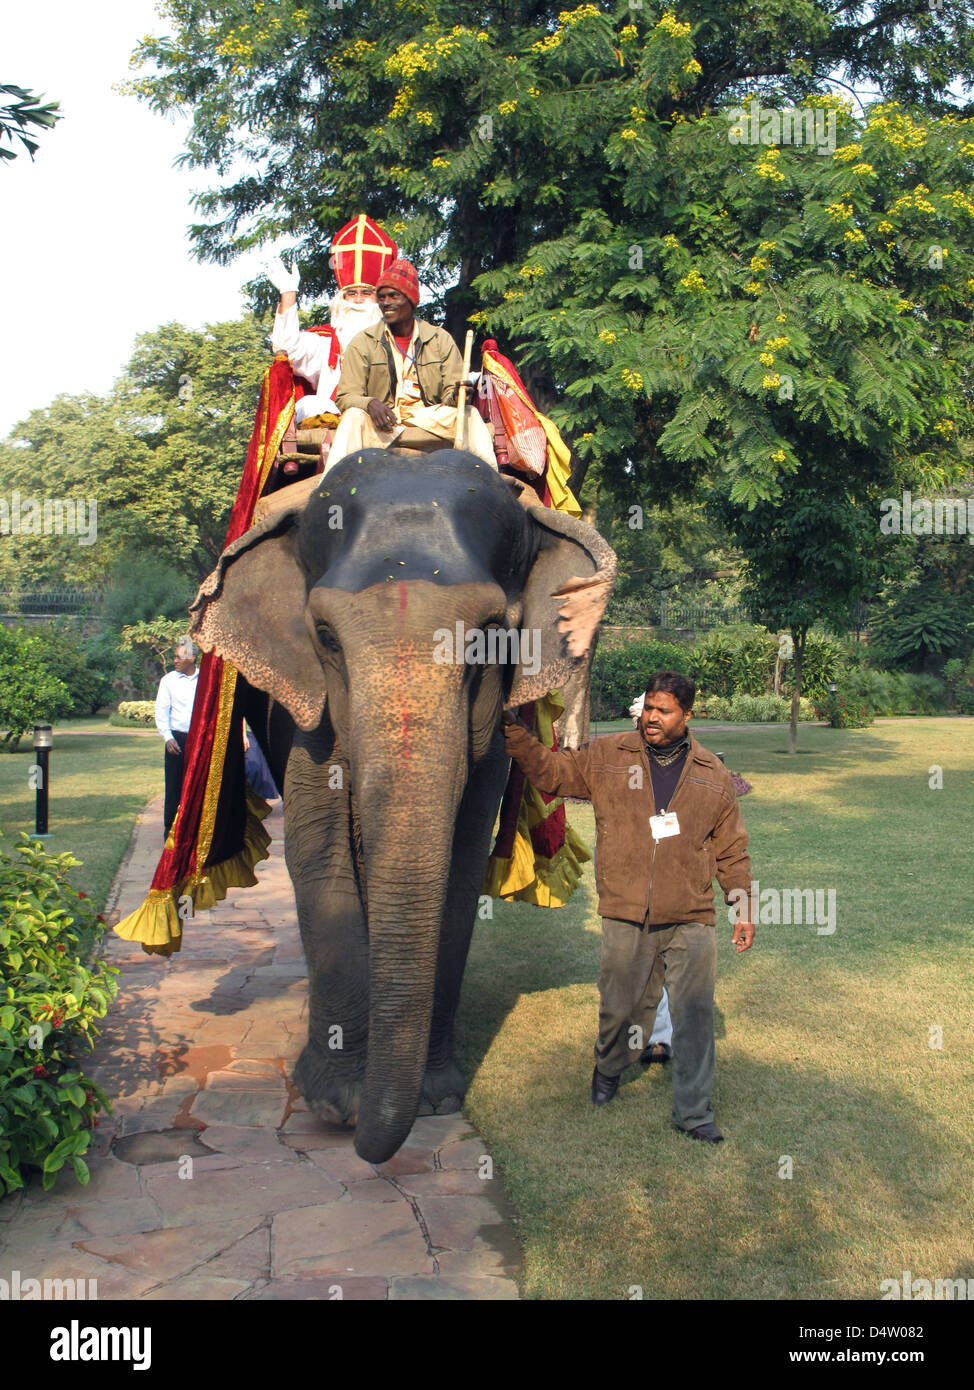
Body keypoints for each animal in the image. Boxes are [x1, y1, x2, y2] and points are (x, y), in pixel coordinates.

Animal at [190, 448, 616, 1163]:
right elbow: (319, 858)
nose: (368, 1141)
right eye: (326, 637)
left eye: (489, 638)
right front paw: (334, 1104)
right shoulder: (302, 715)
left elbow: (461, 865)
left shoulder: (491, 739)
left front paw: (435, 1100)